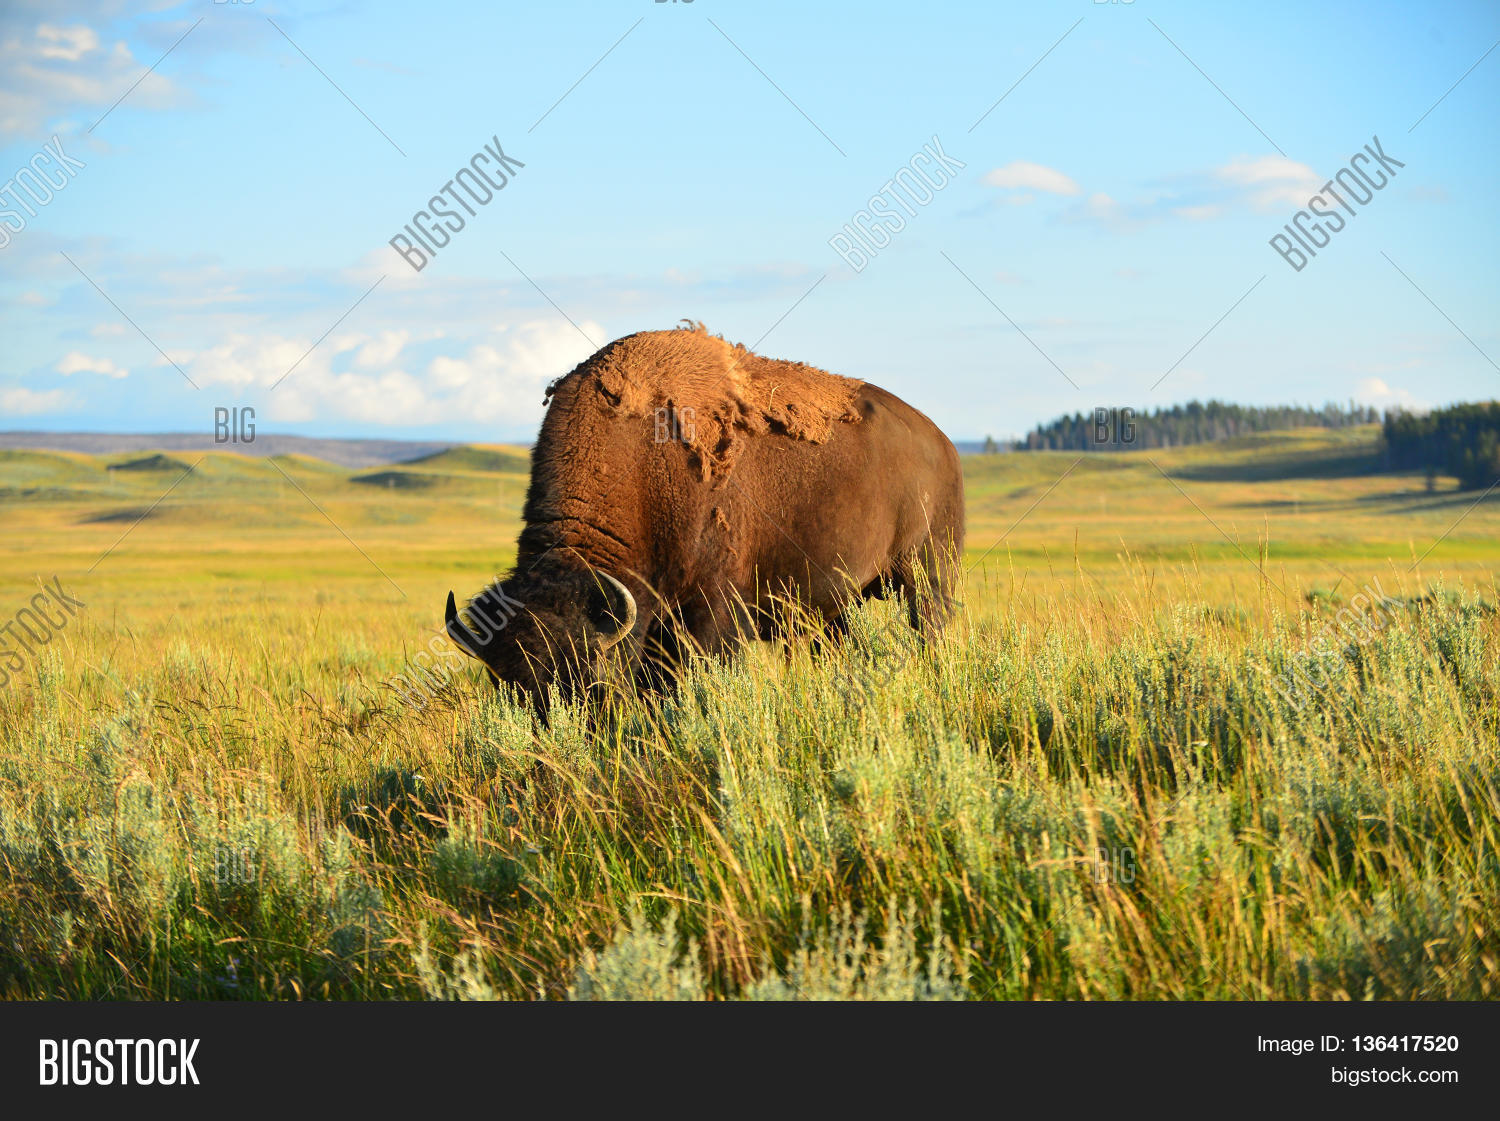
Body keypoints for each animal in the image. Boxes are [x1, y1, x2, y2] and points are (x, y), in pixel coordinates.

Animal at [445, 322, 964, 712]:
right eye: (505, 686)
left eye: (593, 680)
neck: (641, 463)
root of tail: (941, 441)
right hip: (837, 603)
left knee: (929, 630)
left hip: (928, 574)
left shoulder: (715, 612)